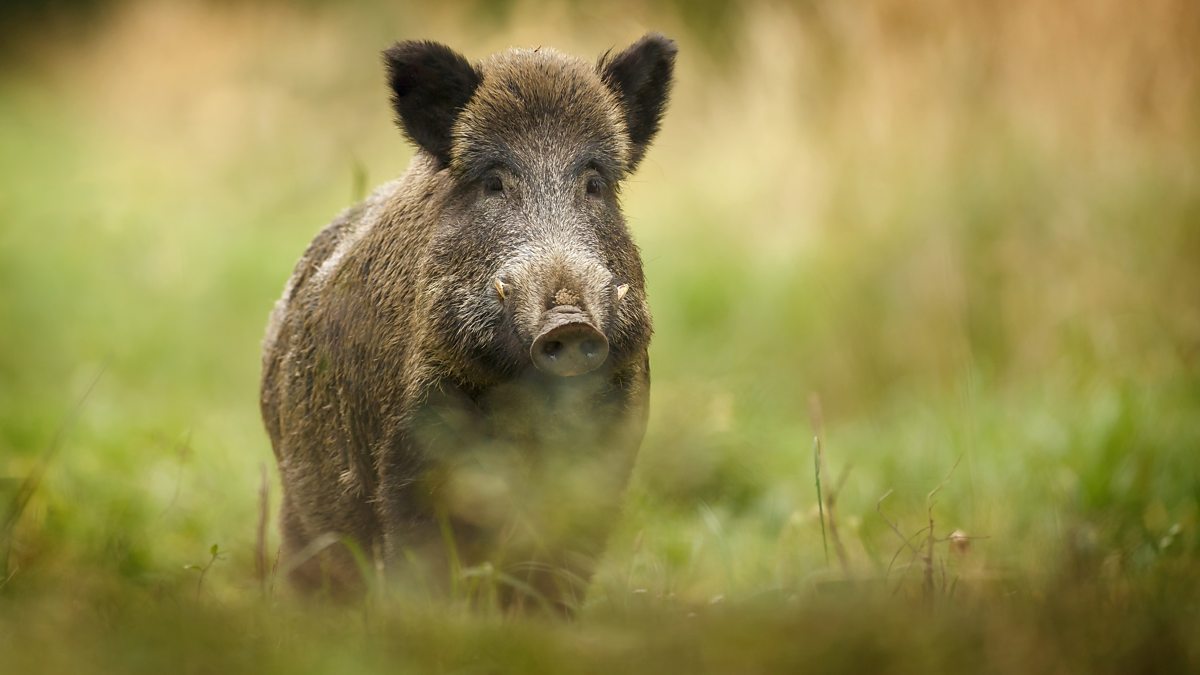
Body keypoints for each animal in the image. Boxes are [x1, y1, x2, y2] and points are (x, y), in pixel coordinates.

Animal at [260, 34, 675, 612]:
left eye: (594, 184)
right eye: (494, 182)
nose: (569, 322)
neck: (527, 406)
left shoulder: (609, 451)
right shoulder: (410, 452)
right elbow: (424, 561)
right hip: (300, 513)